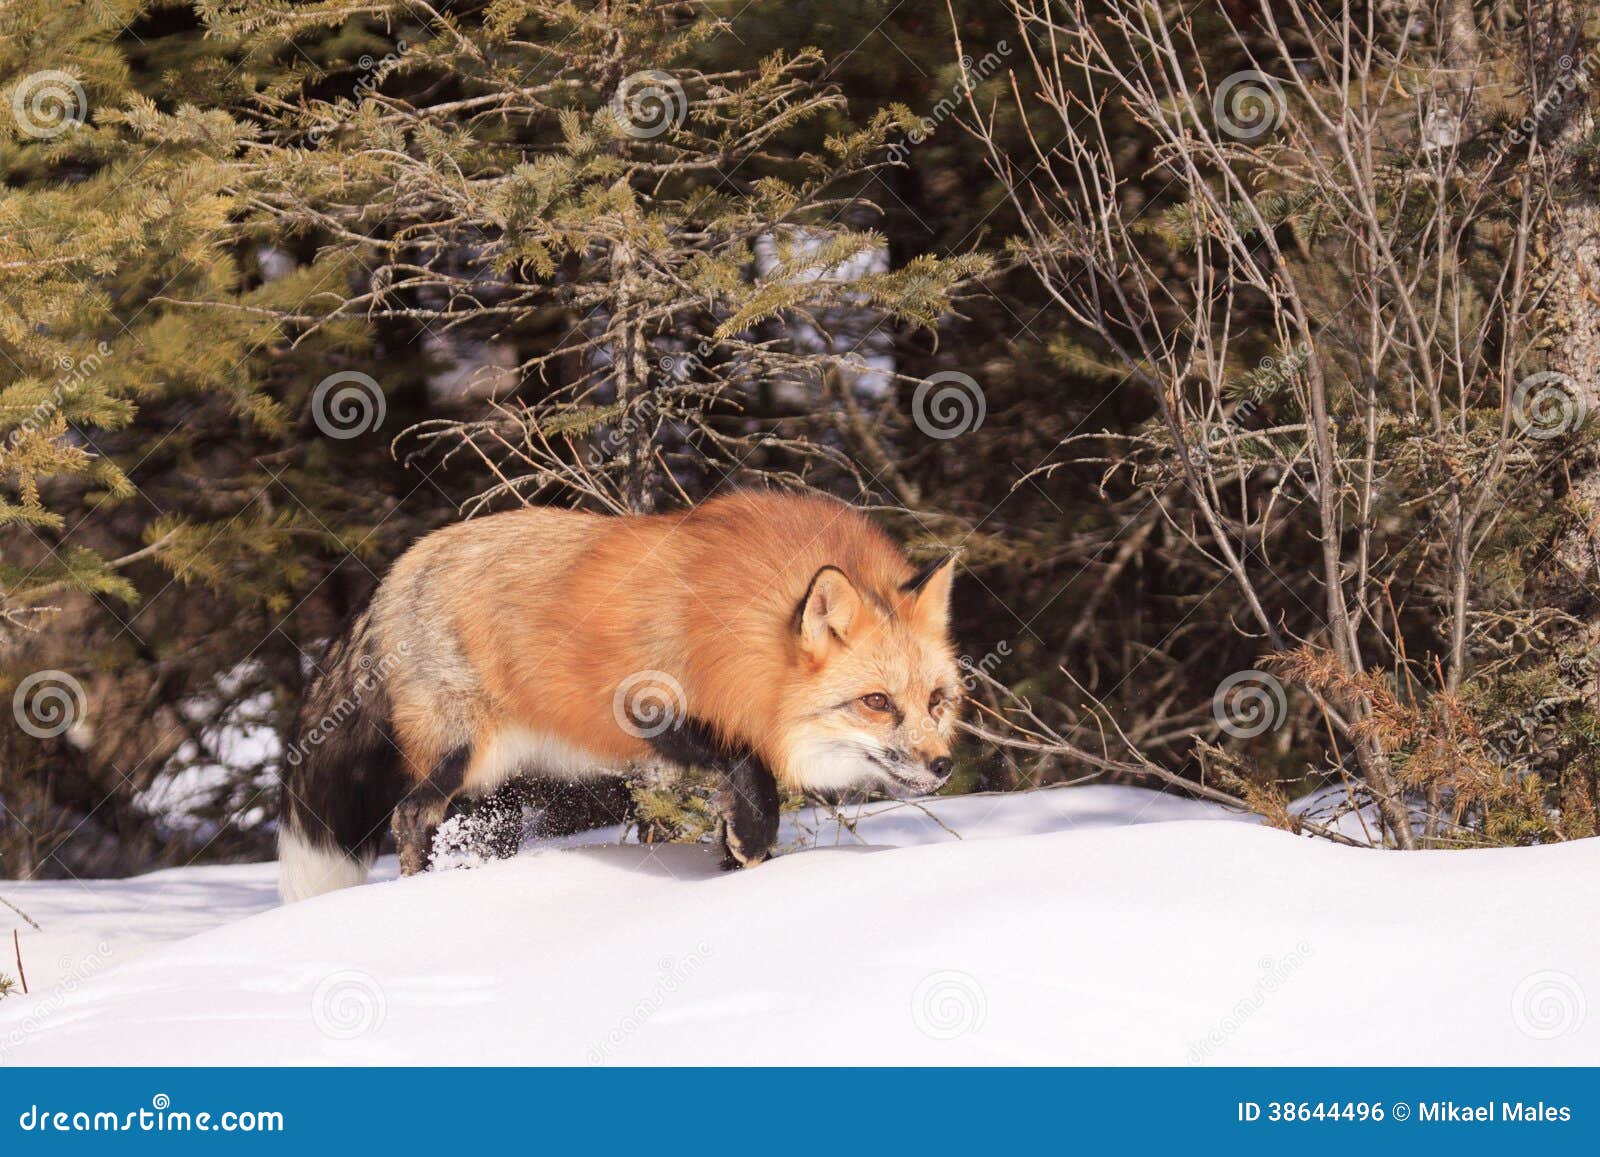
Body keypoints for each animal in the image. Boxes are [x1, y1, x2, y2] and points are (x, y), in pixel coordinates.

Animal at [278, 490, 963, 902]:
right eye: (877, 702)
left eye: (935, 700)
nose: (943, 765)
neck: (743, 632)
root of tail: (400, 567)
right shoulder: (649, 707)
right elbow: (750, 775)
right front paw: (752, 846)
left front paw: (735, 868)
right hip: (458, 753)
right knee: (408, 817)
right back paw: (417, 896)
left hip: (494, 792)